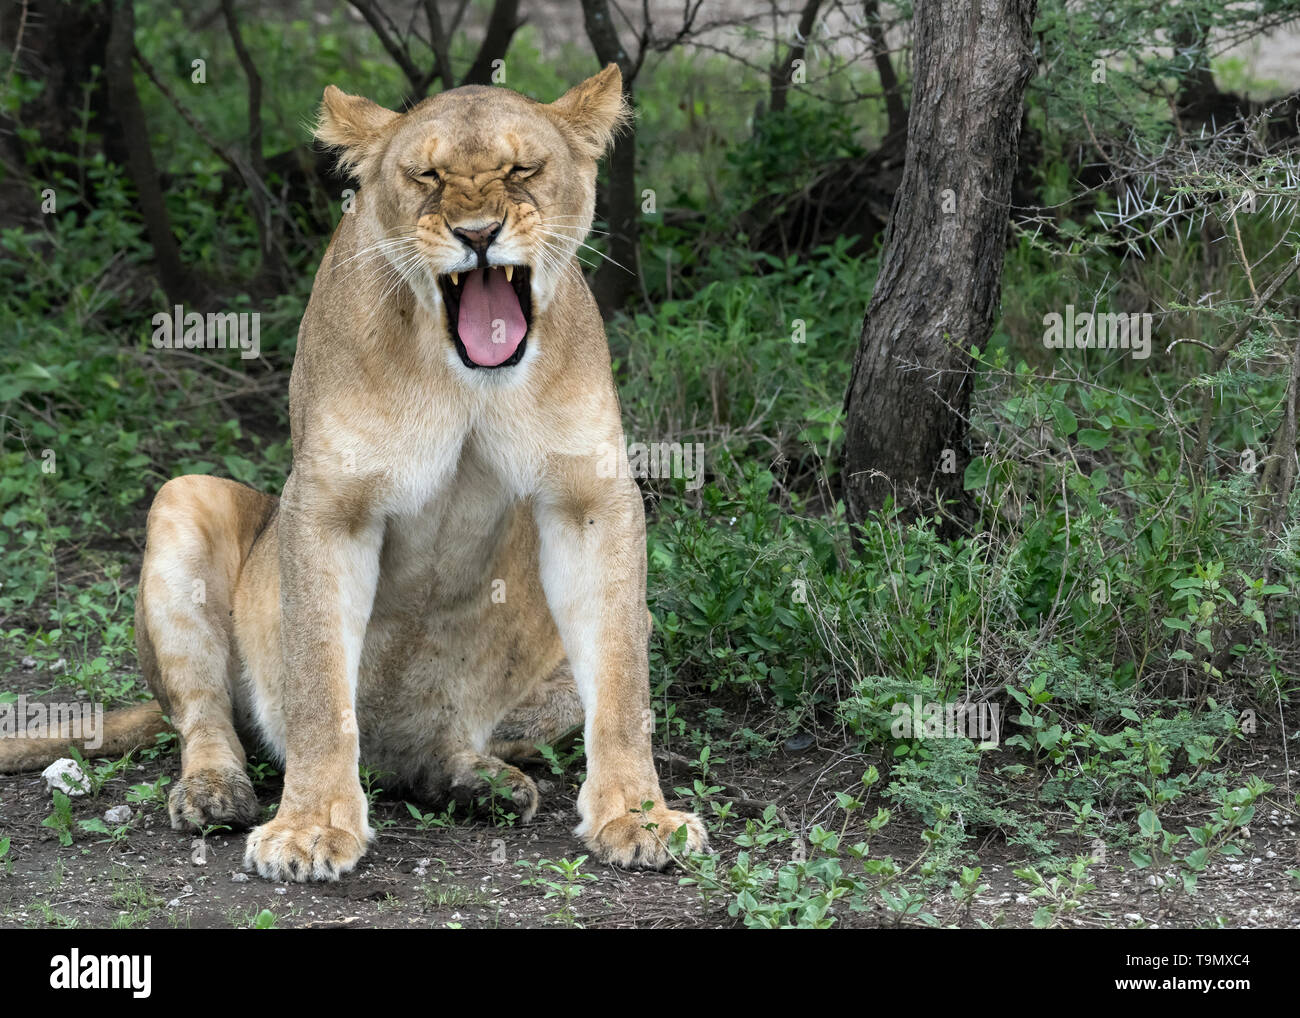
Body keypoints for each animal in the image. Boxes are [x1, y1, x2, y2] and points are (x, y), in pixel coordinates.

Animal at [1, 65, 706, 881]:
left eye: (522, 169)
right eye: (426, 176)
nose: (476, 234)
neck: (466, 380)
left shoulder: (591, 499)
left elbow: (623, 687)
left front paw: (639, 817)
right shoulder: (327, 504)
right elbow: (316, 685)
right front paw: (310, 826)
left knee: (450, 748)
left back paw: (477, 781)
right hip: (185, 501)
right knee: (204, 715)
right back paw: (215, 793)